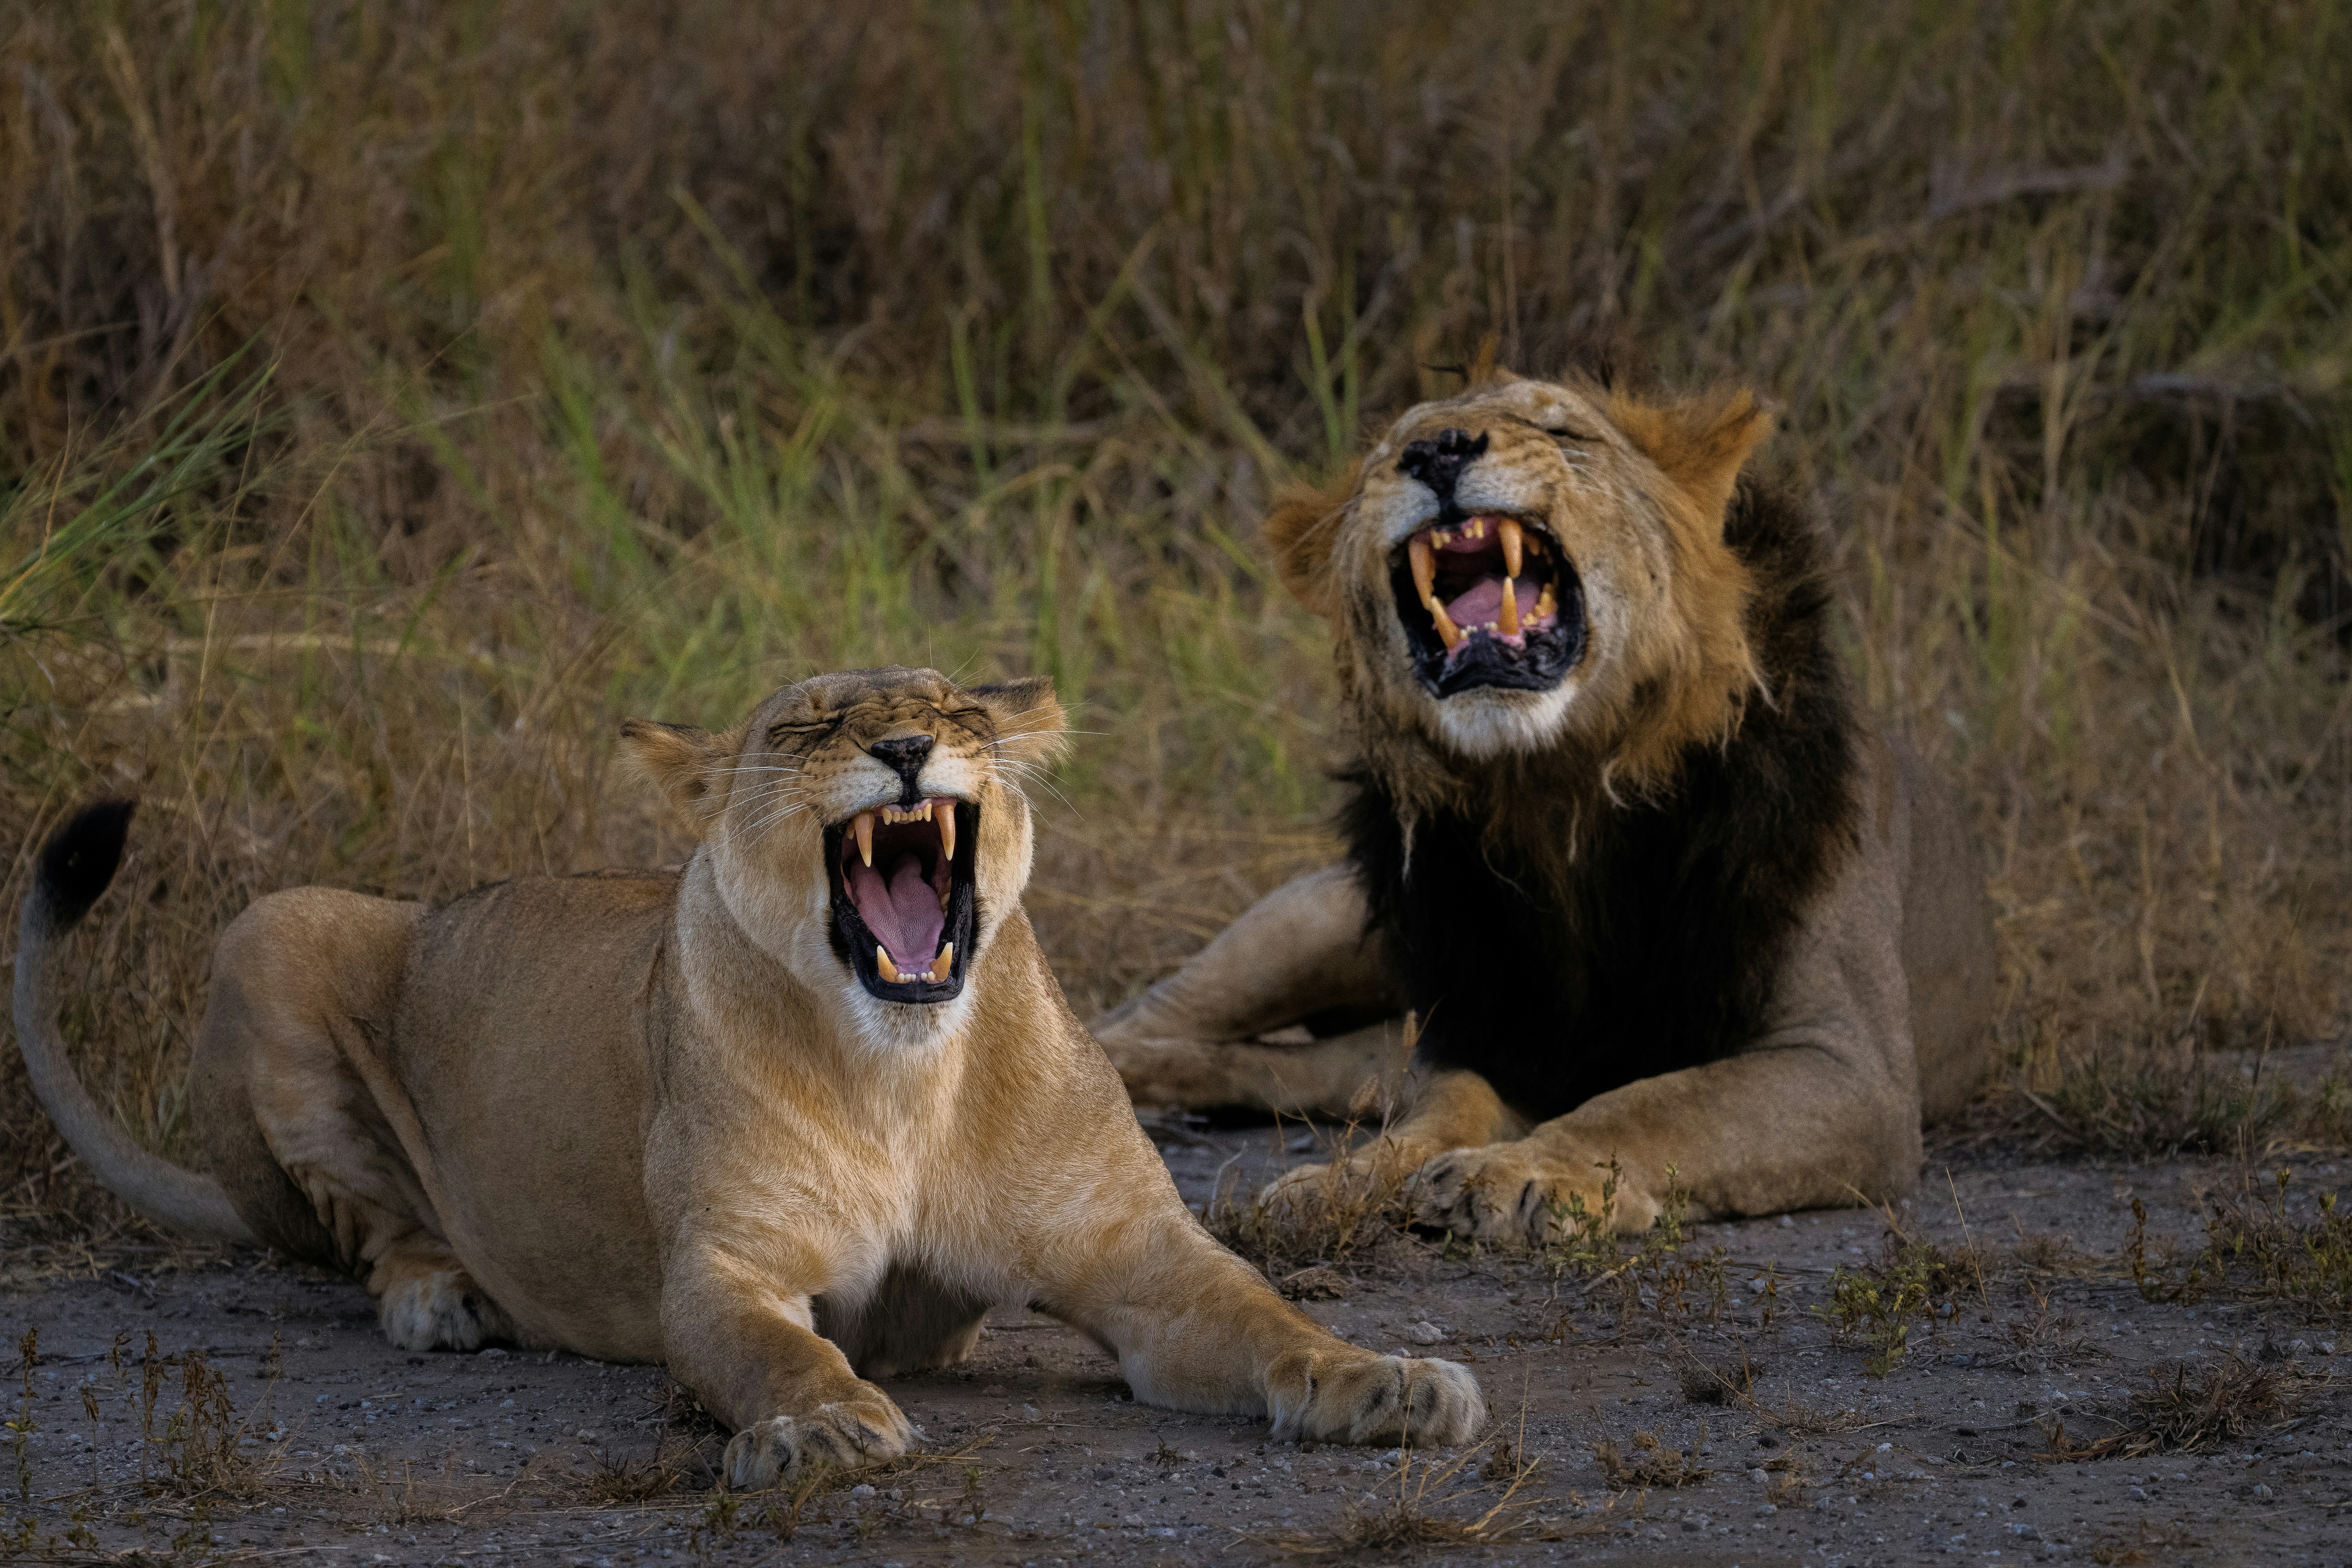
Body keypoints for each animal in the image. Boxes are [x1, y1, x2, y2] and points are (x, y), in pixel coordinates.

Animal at [13, 668, 1483, 1484]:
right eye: (812, 723)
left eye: (955, 710)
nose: (904, 749)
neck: (906, 1073)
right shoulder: (726, 1267)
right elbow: (781, 1352)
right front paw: (825, 1432)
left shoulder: (1132, 1252)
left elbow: (1260, 1314)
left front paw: (1387, 1382)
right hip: (275, 927)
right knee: (364, 1227)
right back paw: (441, 1297)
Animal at [1093, 371, 1997, 1240]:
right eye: (1385, 453)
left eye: (1563, 429)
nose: (1437, 450)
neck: (1553, 785)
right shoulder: (1487, 1028)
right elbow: (1439, 1114)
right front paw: (1344, 1182)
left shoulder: (1848, 1064)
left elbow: (1658, 1104)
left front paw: (1523, 1174)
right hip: (1305, 926)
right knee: (1146, 1018)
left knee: (1273, 1068)